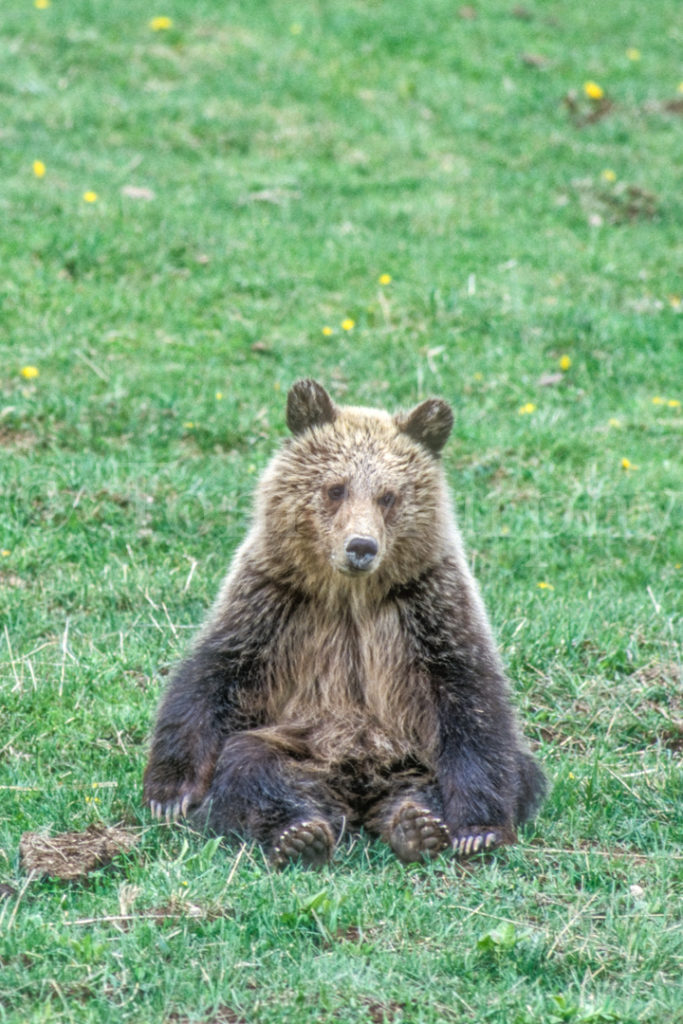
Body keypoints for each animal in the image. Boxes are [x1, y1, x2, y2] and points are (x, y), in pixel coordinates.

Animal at [143, 379, 546, 866]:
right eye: (336, 488)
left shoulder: (429, 607)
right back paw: (301, 834)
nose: (361, 546)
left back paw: (416, 825)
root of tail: (359, 790)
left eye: (388, 496)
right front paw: (170, 793)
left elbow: (472, 702)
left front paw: (479, 830)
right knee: (250, 763)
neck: (351, 596)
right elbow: (214, 673)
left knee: (513, 769)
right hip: (303, 744)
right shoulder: (275, 602)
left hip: (414, 751)